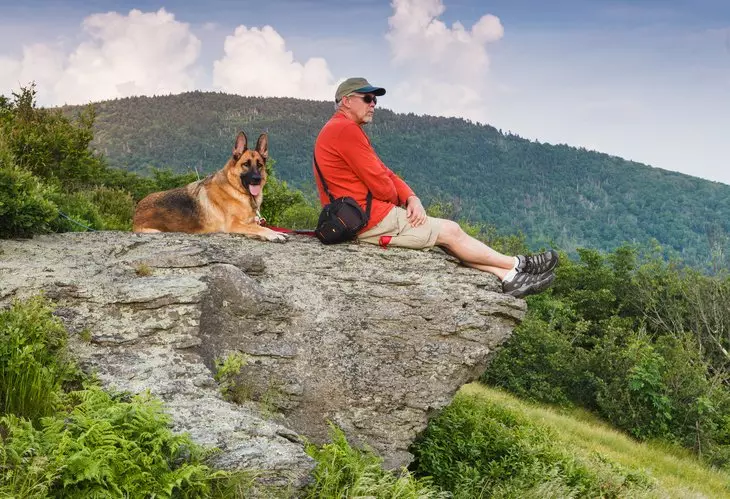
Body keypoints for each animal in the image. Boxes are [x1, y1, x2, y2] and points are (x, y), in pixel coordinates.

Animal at [132, 132, 286, 243]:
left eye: (259, 165)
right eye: (246, 164)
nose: (257, 179)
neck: (235, 189)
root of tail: (137, 210)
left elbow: (256, 226)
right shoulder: (233, 224)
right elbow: (257, 228)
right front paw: (273, 234)